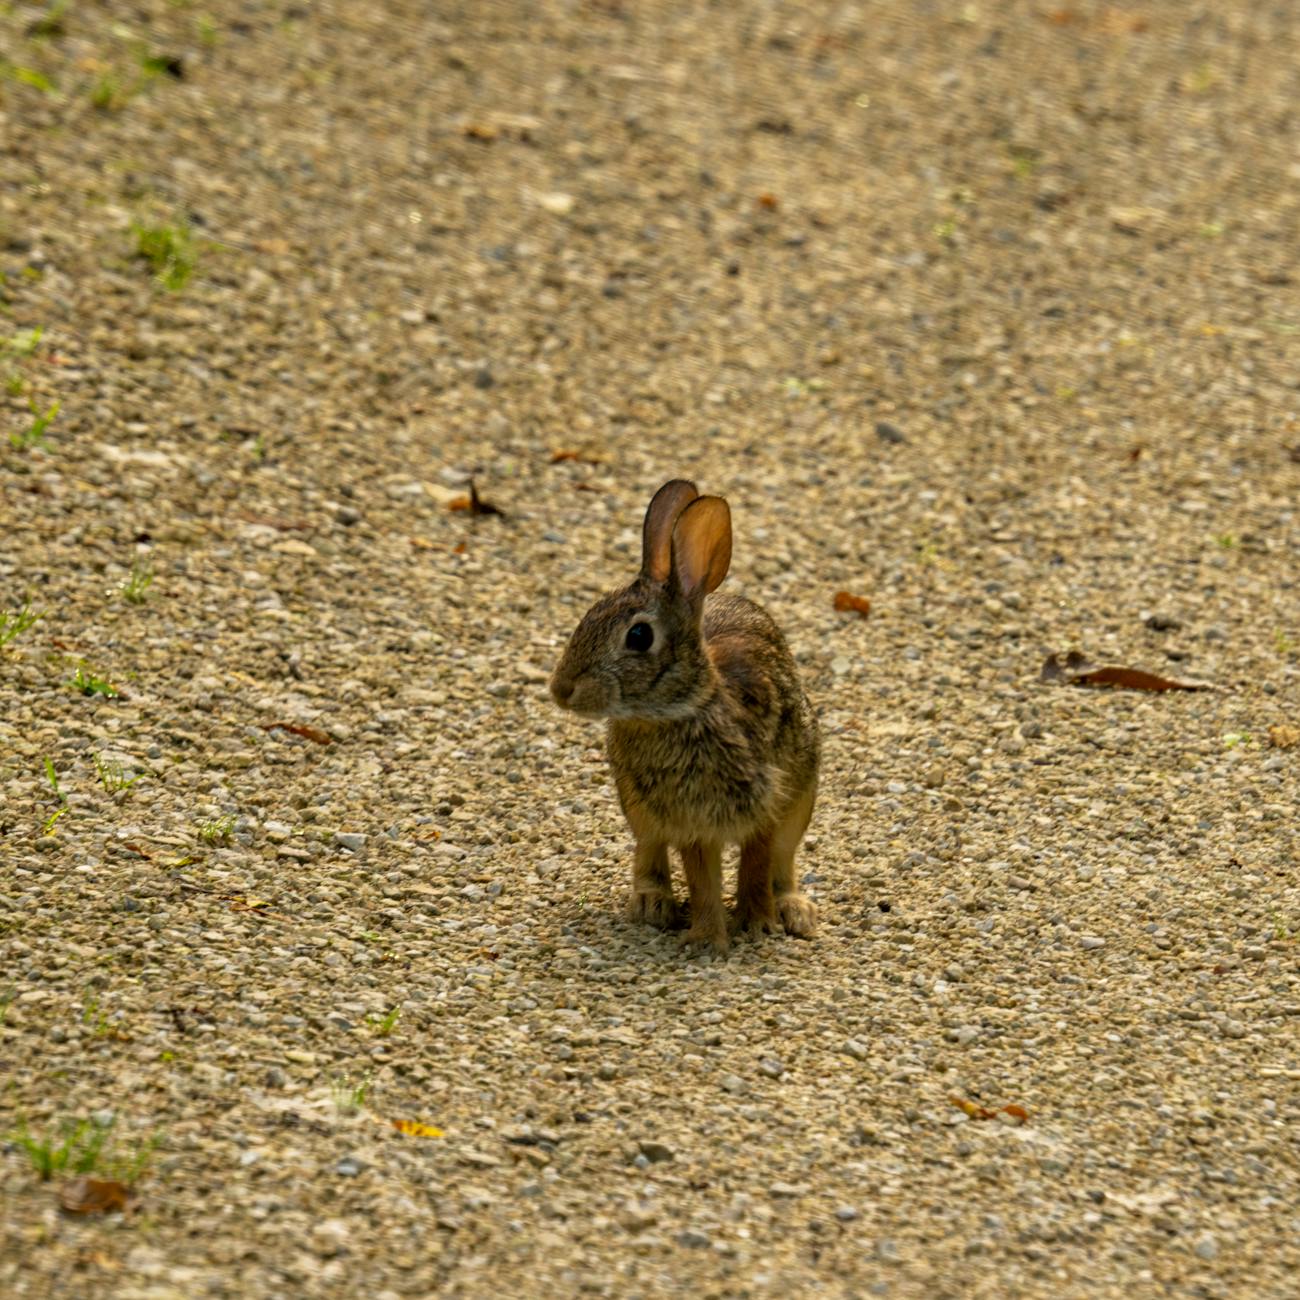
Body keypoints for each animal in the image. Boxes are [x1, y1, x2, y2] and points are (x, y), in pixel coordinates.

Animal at [549, 479, 820, 952]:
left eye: (639, 636)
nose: (561, 690)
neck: (684, 709)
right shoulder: (690, 821)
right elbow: (702, 880)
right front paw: (707, 939)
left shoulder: (765, 804)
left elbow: (756, 866)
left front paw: (758, 925)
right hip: (638, 806)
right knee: (649, 850)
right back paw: (652, 904)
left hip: (802, 798)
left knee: (784, 861)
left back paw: (793, 910)